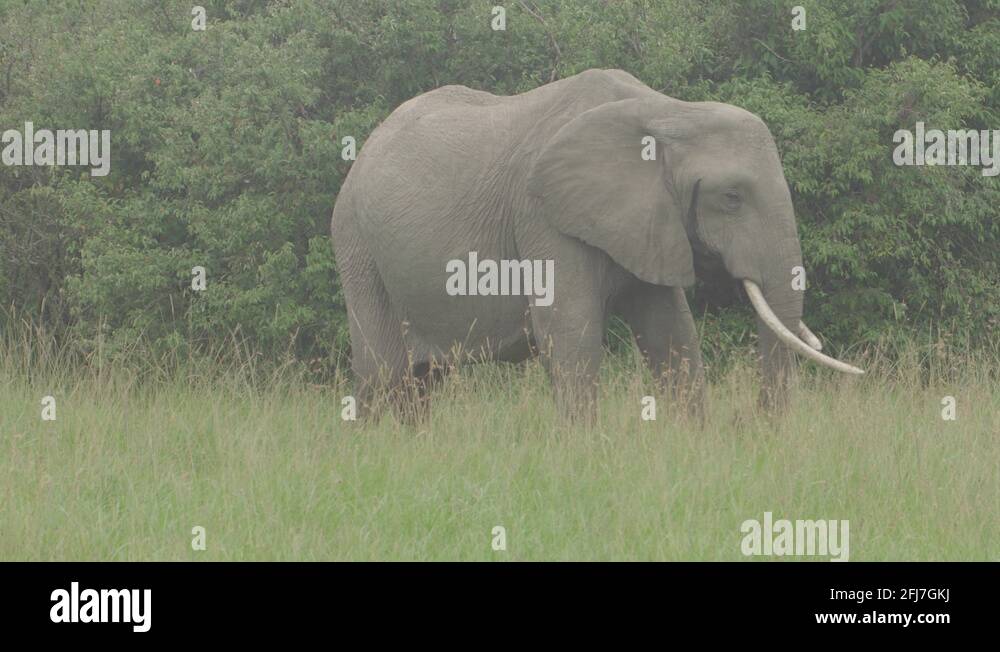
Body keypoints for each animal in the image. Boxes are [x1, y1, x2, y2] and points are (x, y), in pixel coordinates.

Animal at [331, 68, 862, 421]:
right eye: (731, 198)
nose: (749, 425)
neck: (669, 111)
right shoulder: (542, 213)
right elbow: (570, 330)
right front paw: (582, 455)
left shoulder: (648, 220)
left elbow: (671, 330)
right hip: (357, 247)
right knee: (382, 375)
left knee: (421, 381)